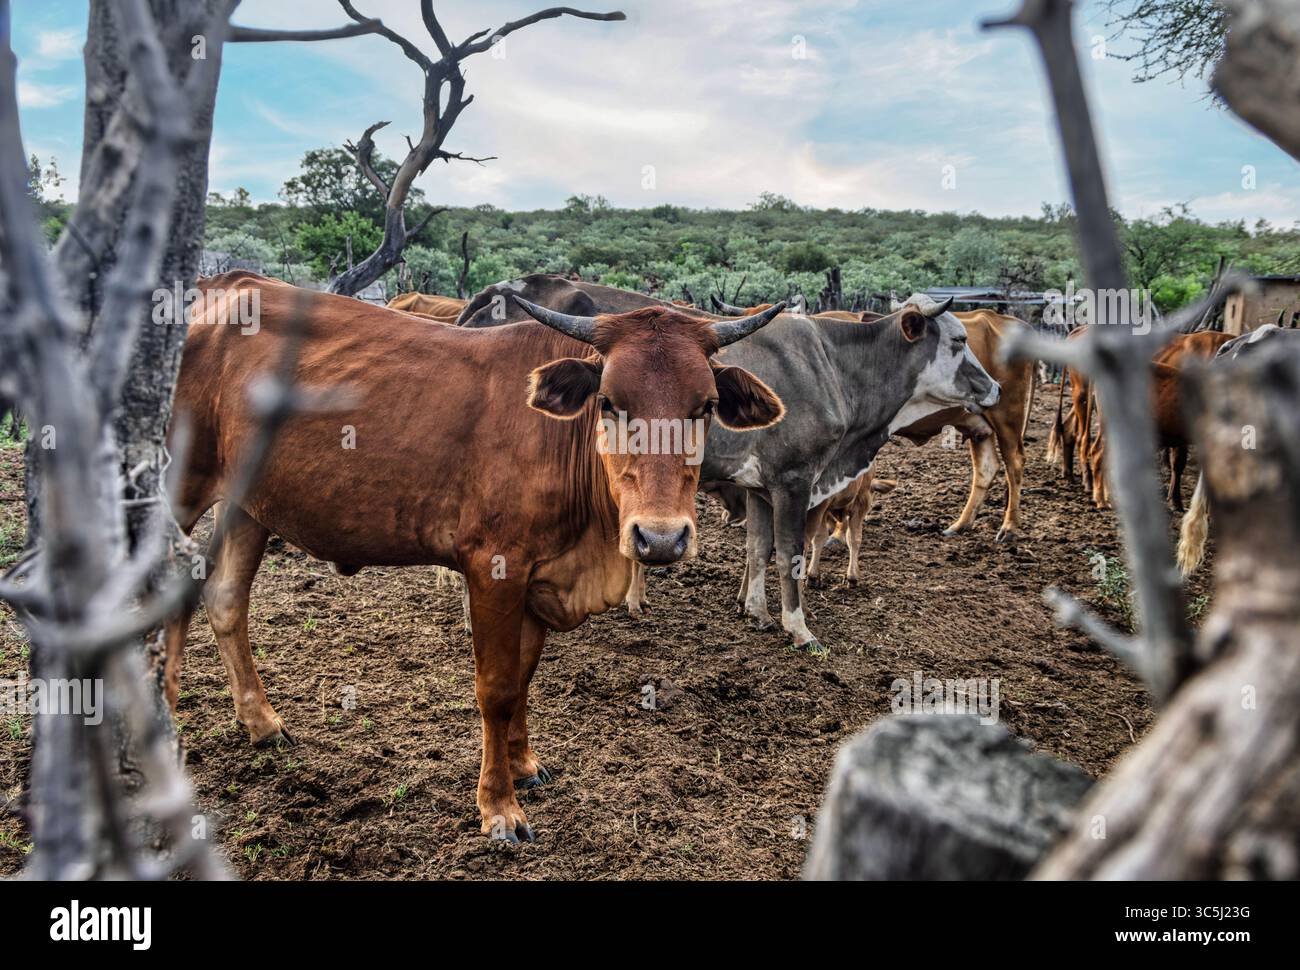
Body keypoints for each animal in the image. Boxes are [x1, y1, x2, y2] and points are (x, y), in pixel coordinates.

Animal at [164, 271, 785, 842]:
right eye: (609, 402)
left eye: (705, 406)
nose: (660, 538)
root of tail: (220, 285)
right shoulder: (494, 568)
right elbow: (496, 687)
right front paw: (499, 806)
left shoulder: (537, 576)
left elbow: (524, 676)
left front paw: (525, 764)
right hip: (178, 488)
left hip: (248, 505)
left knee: (223, 599)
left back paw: (261, 721)